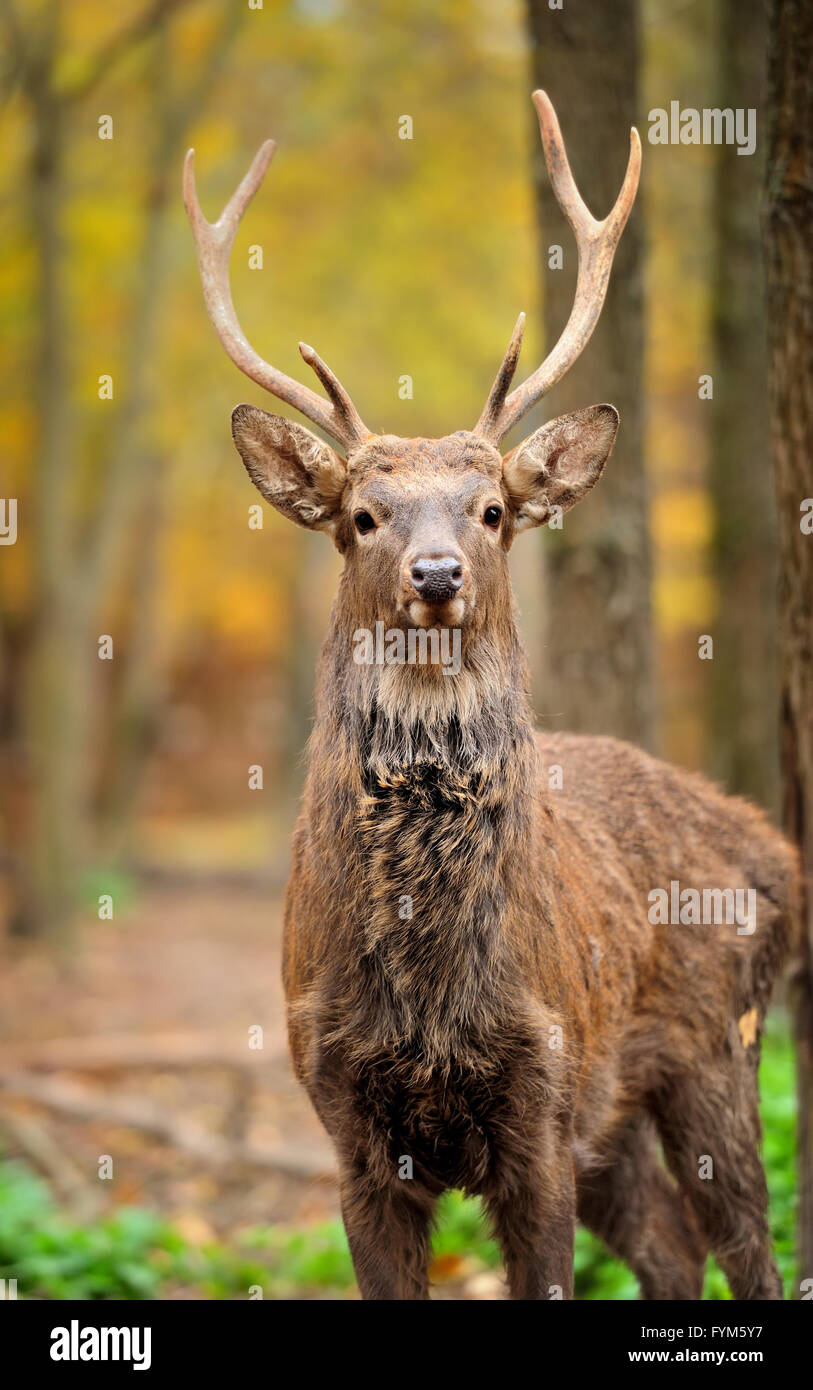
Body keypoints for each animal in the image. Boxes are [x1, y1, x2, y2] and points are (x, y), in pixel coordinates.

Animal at [184, 90, 799, 1301]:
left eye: (494, 509)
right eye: (362, 516)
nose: (435, 575)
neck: (432, 997)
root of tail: (767, 847)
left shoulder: (542, 1108)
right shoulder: (346, 1122)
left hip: (716, 1050)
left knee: (752, 1254)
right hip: (625, 1113)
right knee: (671, 1252)